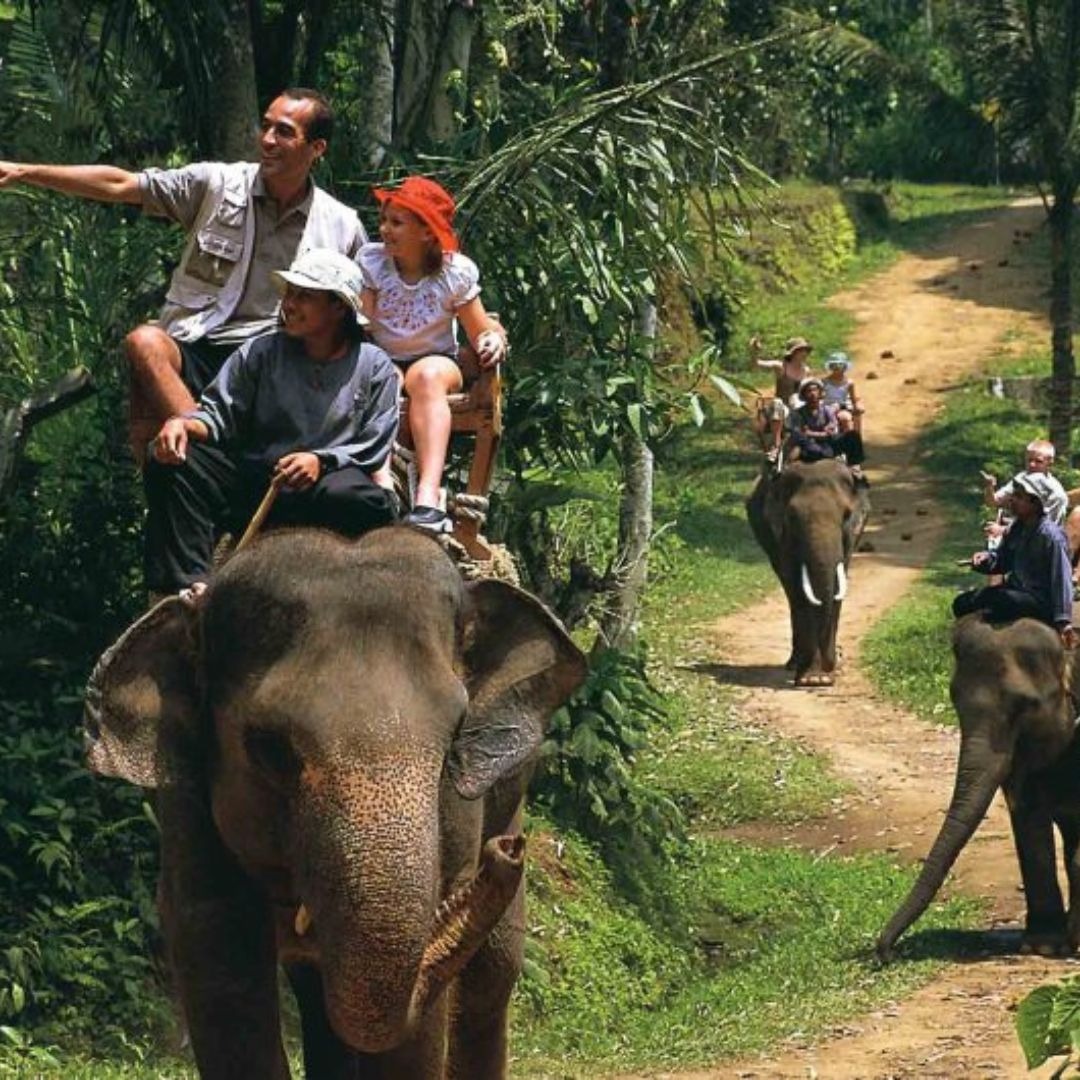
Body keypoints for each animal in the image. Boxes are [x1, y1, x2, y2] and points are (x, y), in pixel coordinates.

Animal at [83, 525, 587, 1079]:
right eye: (271, 748)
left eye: (456, 736)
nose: (507, 851)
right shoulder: (186, 802)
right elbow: (221, 951)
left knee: (492, 976)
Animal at [745, 458, 870, 686]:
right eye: (792, 517)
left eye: (847, 515)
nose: (837, 658)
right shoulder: (780, 535)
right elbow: (796, 585)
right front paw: (813, 678)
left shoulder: (851, 537)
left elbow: (838, 584)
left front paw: (821, 678)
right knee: (790, 592)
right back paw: (794, 664)